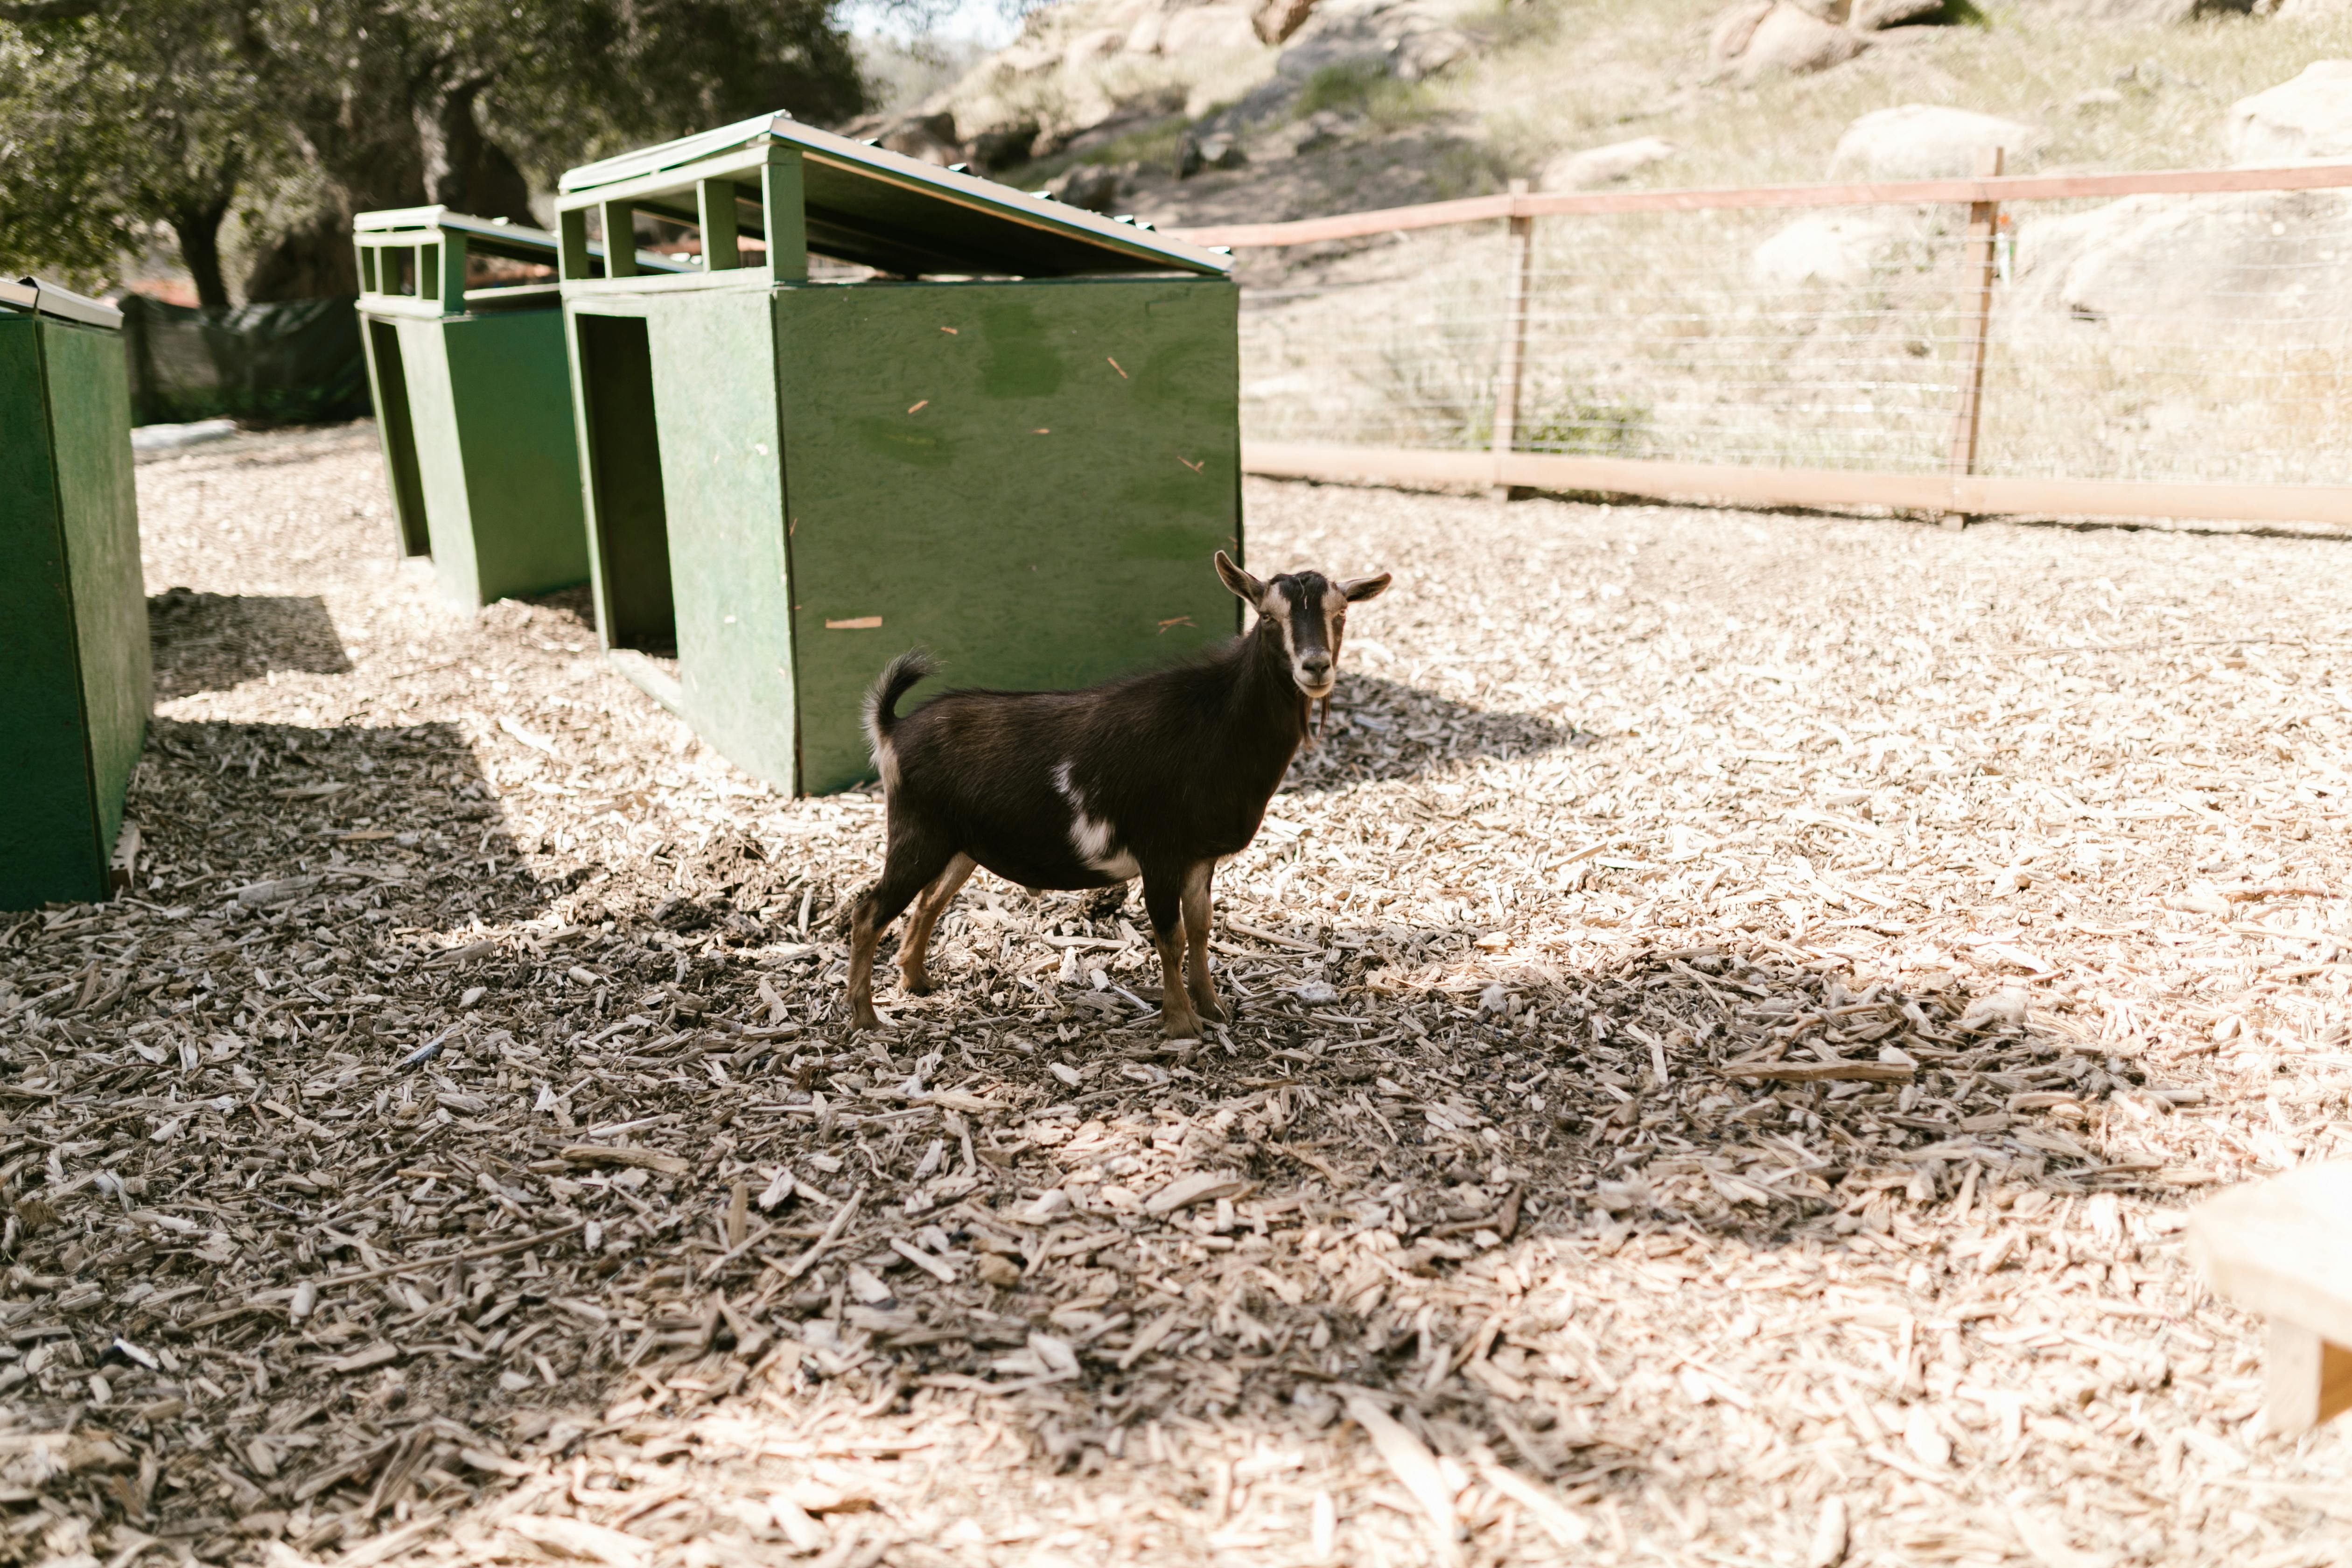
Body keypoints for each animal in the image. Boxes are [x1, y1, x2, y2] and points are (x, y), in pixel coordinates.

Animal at [847, 550, 1391, 1038]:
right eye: (1267, 617)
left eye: (1340, 614)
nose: (1315, 667)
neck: (1217, 723)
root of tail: (894, 729)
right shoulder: (1161, 852)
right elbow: (1170, 936)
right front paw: (1181, 1024)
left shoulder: (1200, 857)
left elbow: (1200, 928)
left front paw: (1213, 1007)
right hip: (919, 833)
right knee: (869, 910)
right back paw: (866, 1018)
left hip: (960, 844)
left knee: (929, 900)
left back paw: (916, 981)